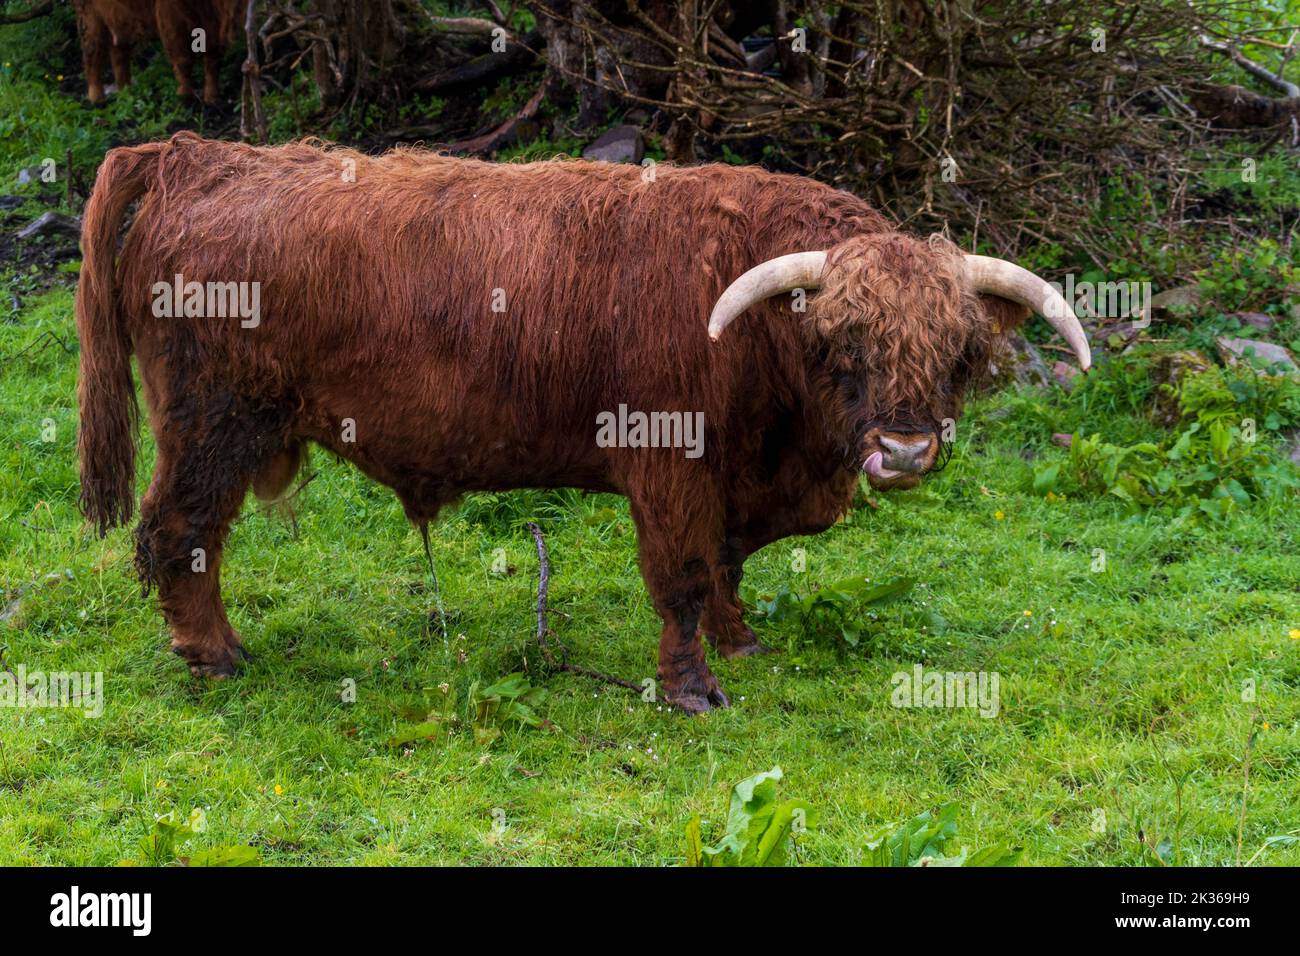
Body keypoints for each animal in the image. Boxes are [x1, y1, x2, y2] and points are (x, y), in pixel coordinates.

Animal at [74, 0, 242, 105]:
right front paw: (185, 97)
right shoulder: (171, 17)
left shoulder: (214, 23)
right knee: (92, 51)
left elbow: (213, 60)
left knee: (118, 52)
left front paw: (212, 97)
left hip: (118, 16)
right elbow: (183, 60)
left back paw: (126, 90)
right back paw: (97, 98)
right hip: (89, 14)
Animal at [76, 132, 1090, 713]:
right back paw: (214, 657)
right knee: (178, 530)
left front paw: (741, 640)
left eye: (958, 350)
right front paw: (692, 689)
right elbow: (684, 575)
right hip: (214, 420)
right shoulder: (670, 460)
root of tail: (198, 153)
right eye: (843, 342)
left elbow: (727, 562)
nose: (906, 449)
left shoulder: (735, 478)